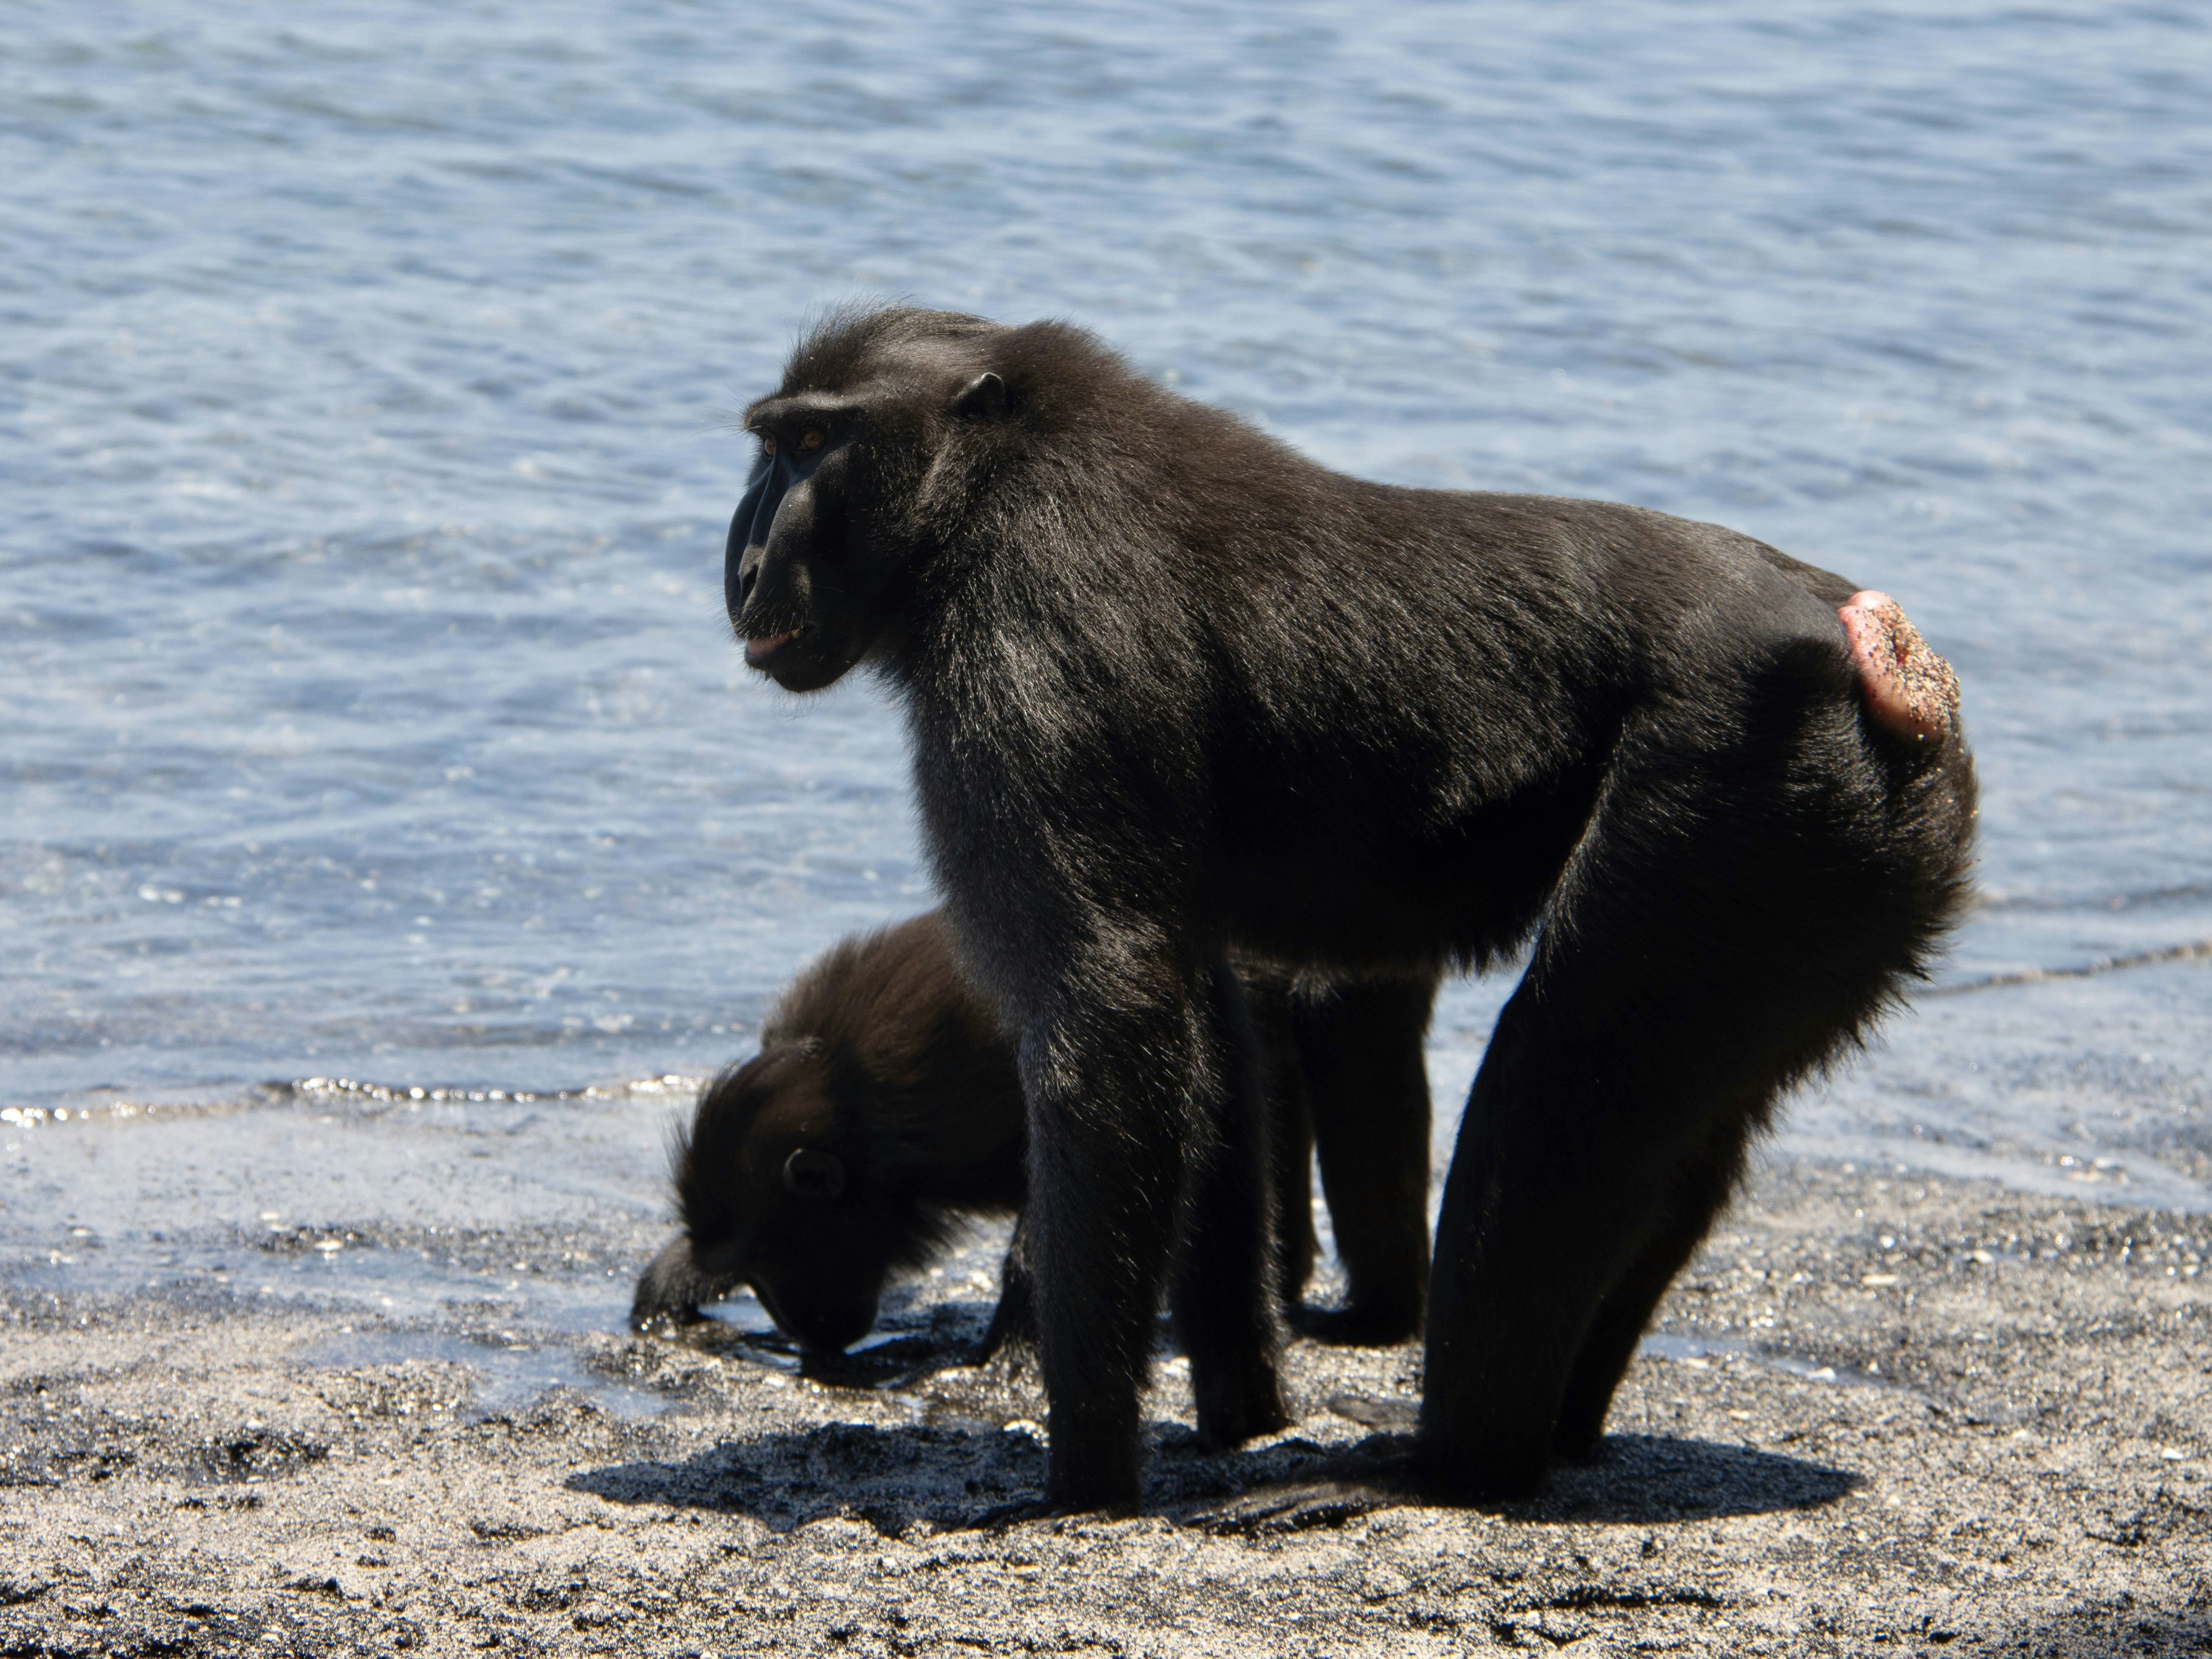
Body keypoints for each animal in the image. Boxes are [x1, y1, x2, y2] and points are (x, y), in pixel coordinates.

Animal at [630, 910, 1439, 1364]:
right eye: (748, 1274)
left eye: (768, 1264)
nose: (805, 1334)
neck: (855, 1094)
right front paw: (676, 1276)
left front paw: (1018, 1352)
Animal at [722, 307, 1976, 1510]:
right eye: (772, 444)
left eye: (810, 443)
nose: (740, 553)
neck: (988, 486)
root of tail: (1875, 644)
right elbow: (1204, 1038)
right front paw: (1239, 1416)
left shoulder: (1030, 647)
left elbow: (1107, 1023)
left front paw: (1078, 1482)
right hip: (1856, 855)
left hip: (1739, 793)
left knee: (1561, 1082)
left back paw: (1449, 1465)